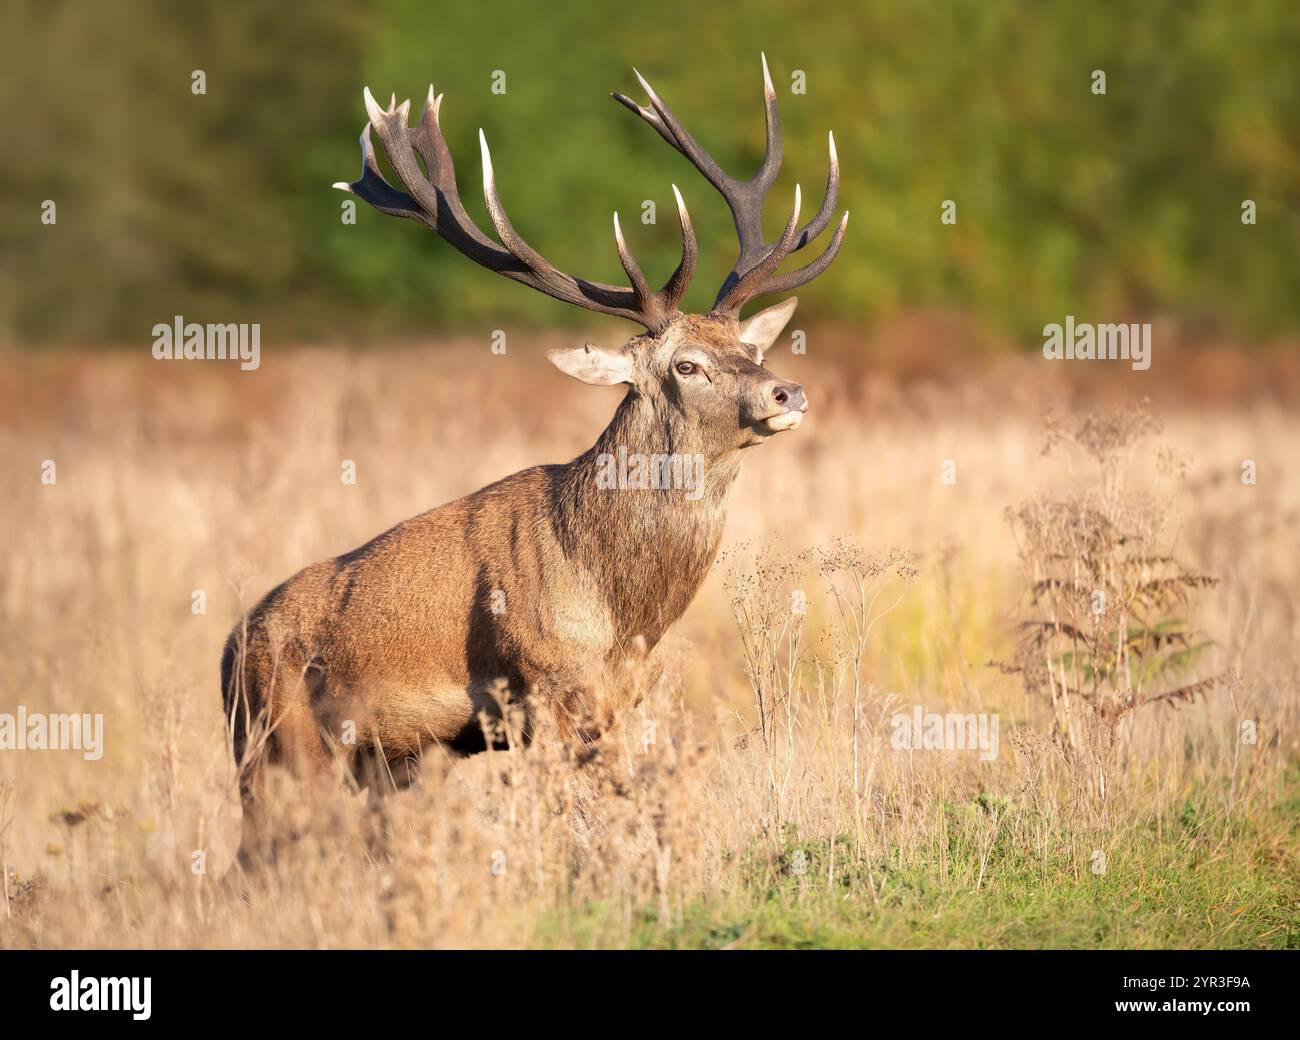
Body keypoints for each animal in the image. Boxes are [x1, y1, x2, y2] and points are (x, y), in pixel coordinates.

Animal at [222, 55, 846, 857]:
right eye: (686, 366)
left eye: (752, 349)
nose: (786, 391)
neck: (619, 609)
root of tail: (227, 651)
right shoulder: (538, 690)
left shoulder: (619, 701)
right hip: (275, 744)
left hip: (385, 764)